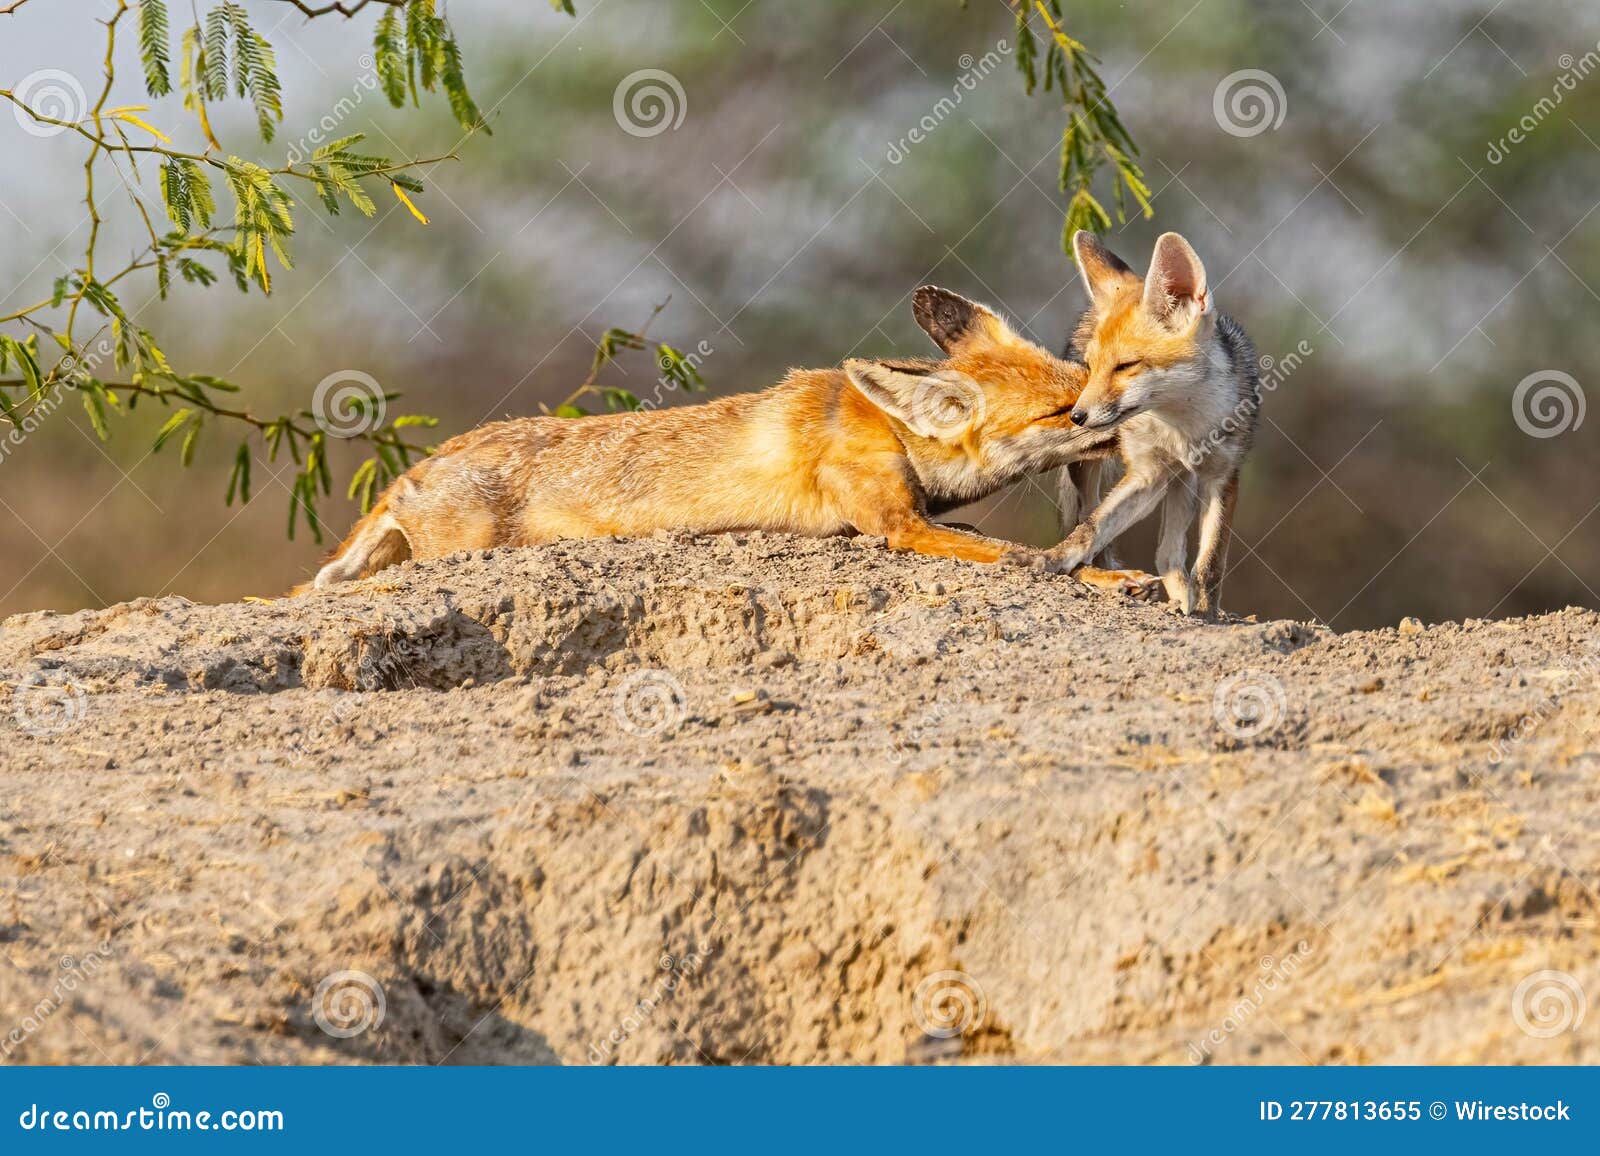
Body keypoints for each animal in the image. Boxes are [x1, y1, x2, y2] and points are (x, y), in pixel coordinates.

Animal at [295, 286, 1160, 597]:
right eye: (1065, 411)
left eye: (1085, 379)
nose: (1127, 422)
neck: (882, 425)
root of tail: (420, 467)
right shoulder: (895, 526)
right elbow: (1024, 558)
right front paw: (1109, 579)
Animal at [1047, 230, 1261, 616]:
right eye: (1093, 366)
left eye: (1125, 366)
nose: (1076, 416)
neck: (1182, 426)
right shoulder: (1147, 473)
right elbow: (1091, 529)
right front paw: (1051, 559)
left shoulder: (1221, 476)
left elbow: (1210, 565)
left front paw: (1206, 612)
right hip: (1091, 470)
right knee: (1092, 528)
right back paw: (1106, 576)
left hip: (1182, 482)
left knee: (1169, 553)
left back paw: (1178, 595)